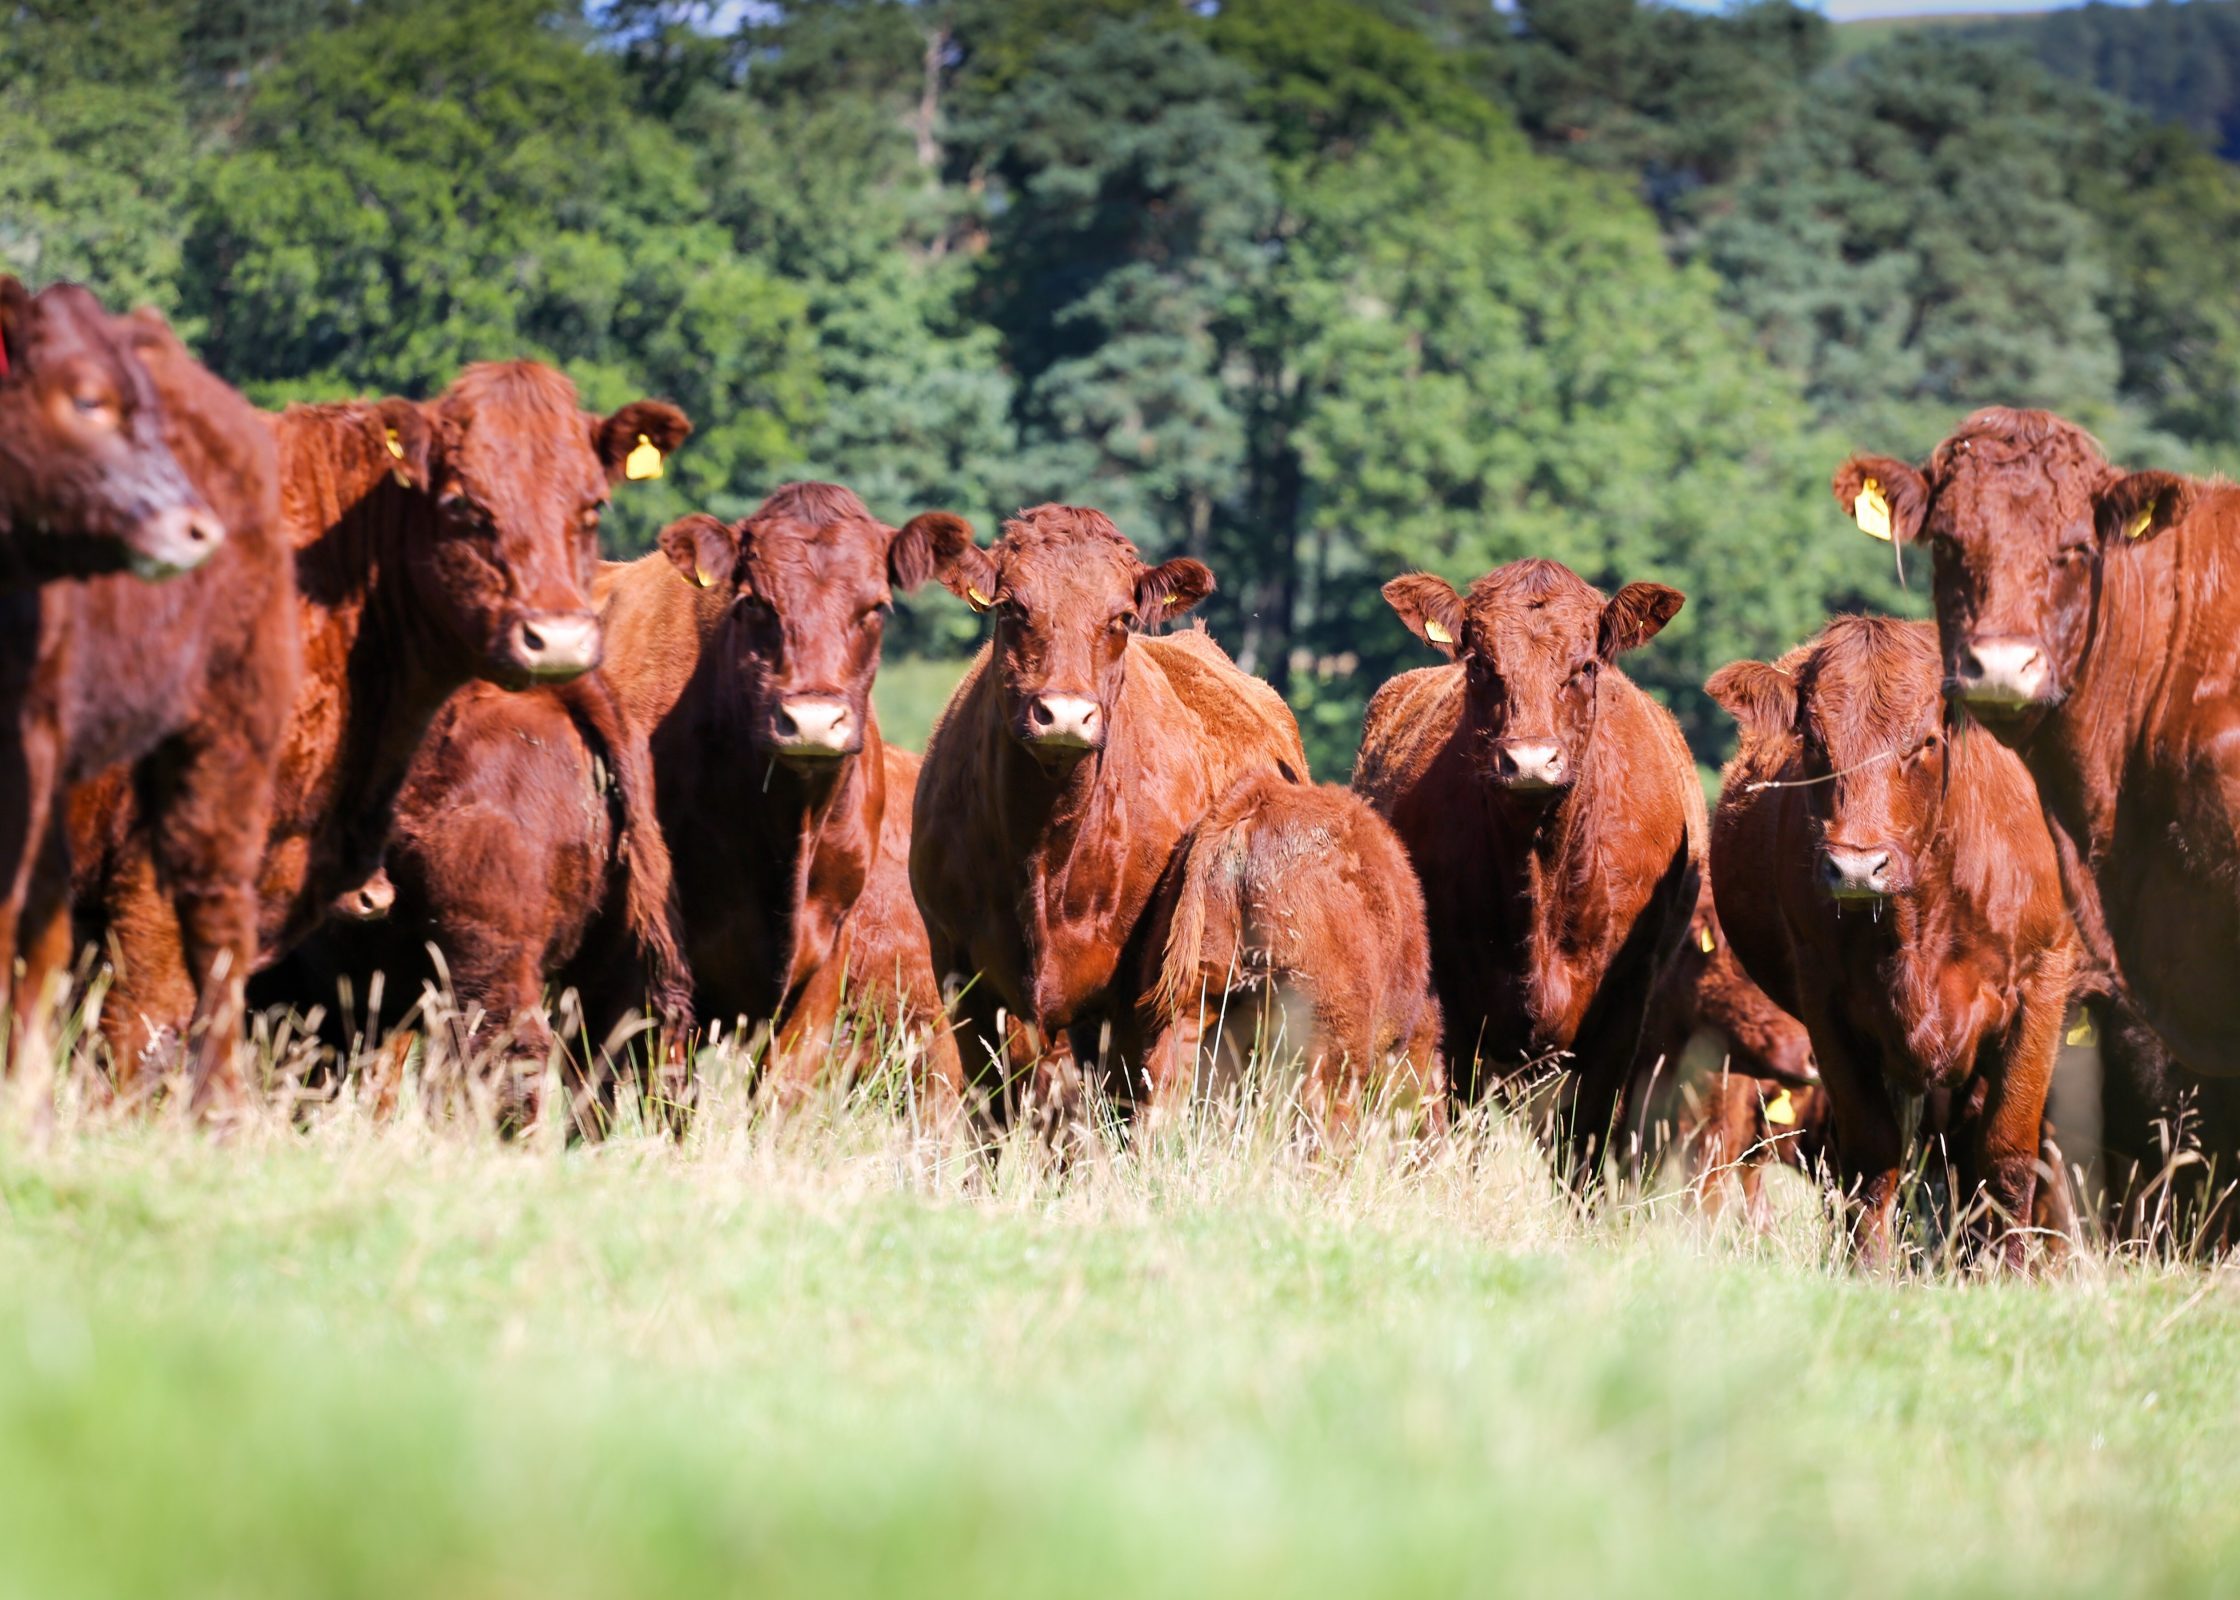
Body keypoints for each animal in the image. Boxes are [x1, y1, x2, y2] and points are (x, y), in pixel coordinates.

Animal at [911, 504, 1309, 1123]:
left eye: (1121, 617)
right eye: (1012, 606)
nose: (1065, 713)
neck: (1045, 849)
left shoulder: (1142, 994)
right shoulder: (964, 980)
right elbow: (994, 1109)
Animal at [1353, 558, 1701, 1179]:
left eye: (1586, 666)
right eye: (1480, 663)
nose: (1531, 761)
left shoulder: (1625, 1004)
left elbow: (1584, 1146)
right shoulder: (1453, 1006)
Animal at [1707, 616, 2077, 1266]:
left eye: (1926, 741)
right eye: (1813, 743)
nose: (1856, 868)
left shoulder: (2041, 984)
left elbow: (2007, 1155)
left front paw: (2010, 1276)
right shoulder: (1826, 1006)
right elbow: (1871, 1160)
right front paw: (1869, 1270)